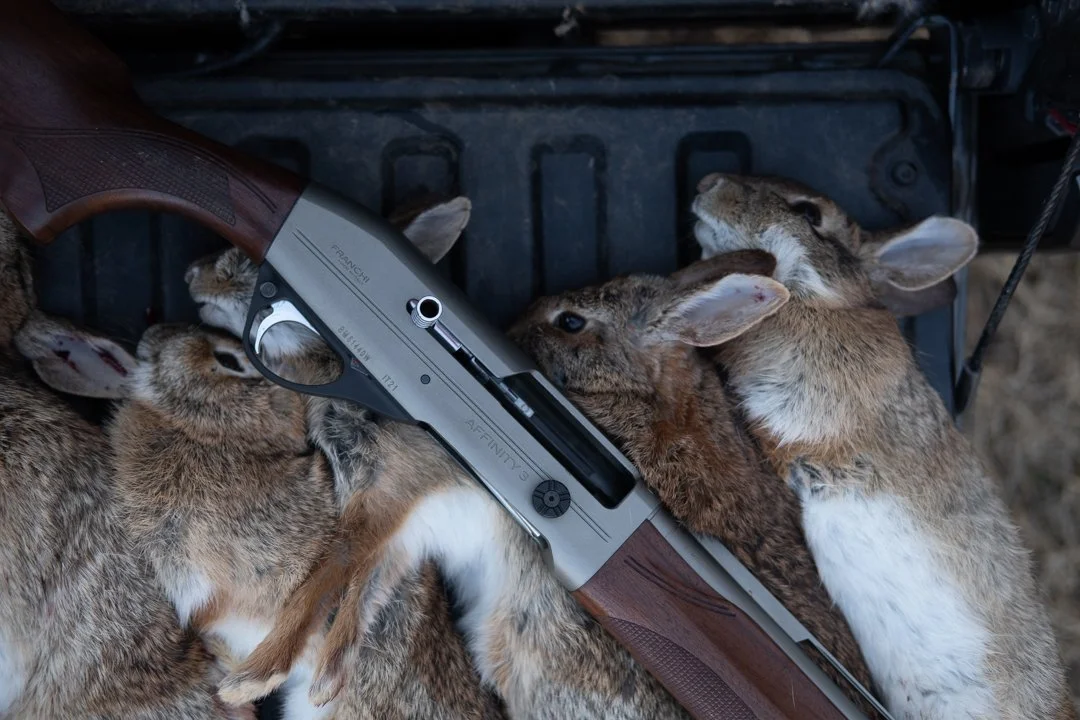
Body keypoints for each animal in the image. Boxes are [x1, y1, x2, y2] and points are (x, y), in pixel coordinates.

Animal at [185, 214, 697, 720]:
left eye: (240, 262)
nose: (192, 274)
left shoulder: (394, 495)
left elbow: (340, 572)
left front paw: (262, 675)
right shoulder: (394, 515)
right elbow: (362, 582)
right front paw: (318, 674)